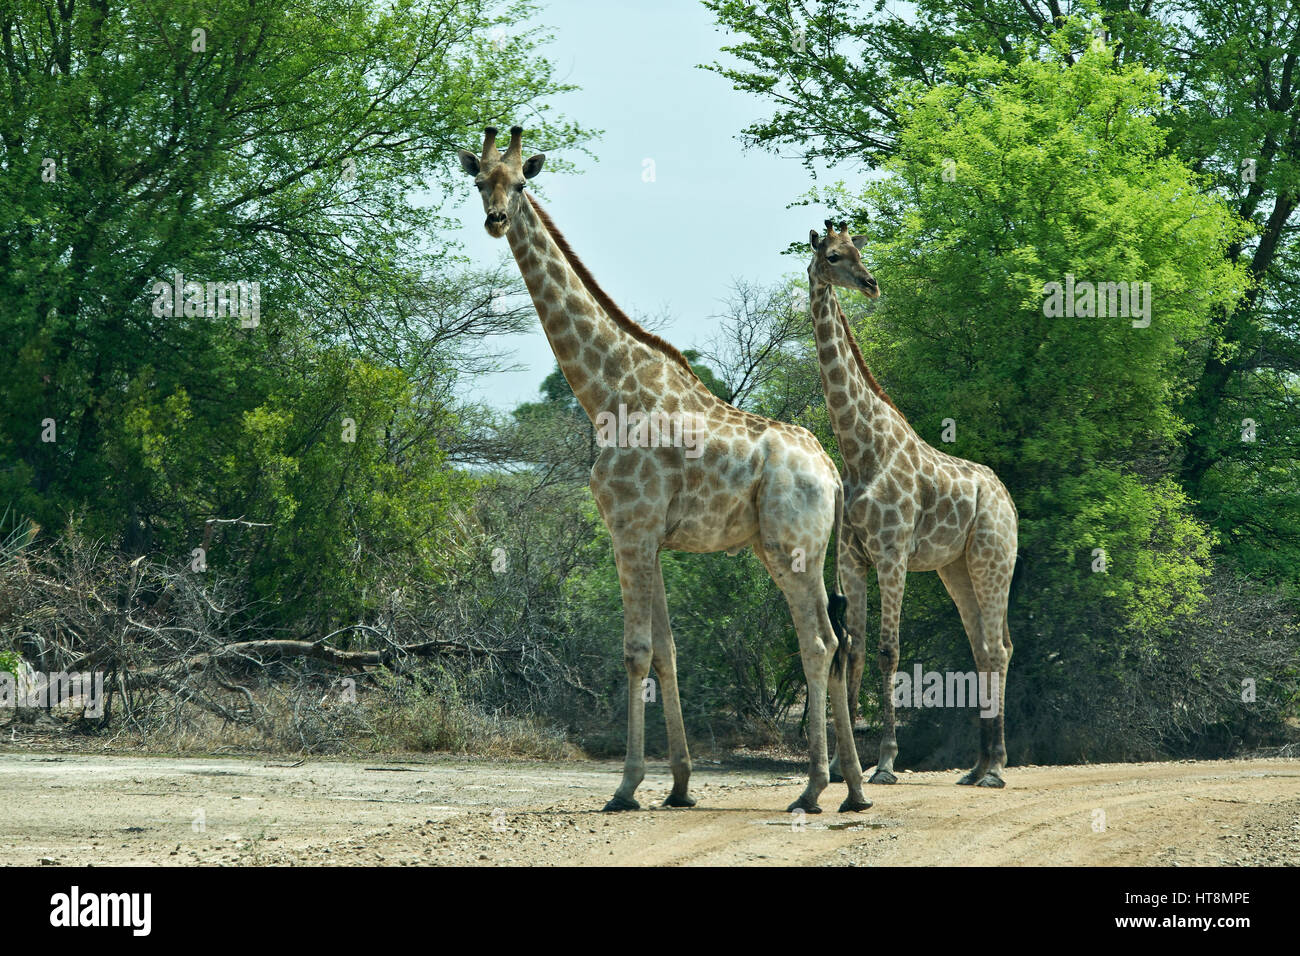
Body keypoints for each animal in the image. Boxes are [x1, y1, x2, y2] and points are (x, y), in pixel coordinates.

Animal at [457, 125, 871, 813]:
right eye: (480, 180)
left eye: (518, 184)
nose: (495, 220)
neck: (603, 390)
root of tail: (833, 476)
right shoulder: (650, 537)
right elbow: (670, 652)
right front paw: (679, 784)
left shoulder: (630, 527)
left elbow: (634, 652)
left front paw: (626, 786)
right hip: (798, 550)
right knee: (834, 641)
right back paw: (852, 790)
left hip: (789, 548)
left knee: (816, 643)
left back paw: (814, 788)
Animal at [806, 220, 1020, 789]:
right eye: (832, 256)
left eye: (858, 253)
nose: (871, 284)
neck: (860, 448)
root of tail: (1009, 500)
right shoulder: (851, 559)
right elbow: (854, 650)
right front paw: (841, 764)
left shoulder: (893, 553)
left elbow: (889, 651)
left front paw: (884, 763)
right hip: (956, 568)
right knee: (984, 647)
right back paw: (976, 766)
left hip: (993, 559)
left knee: (998, 647)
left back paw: (997, 768)